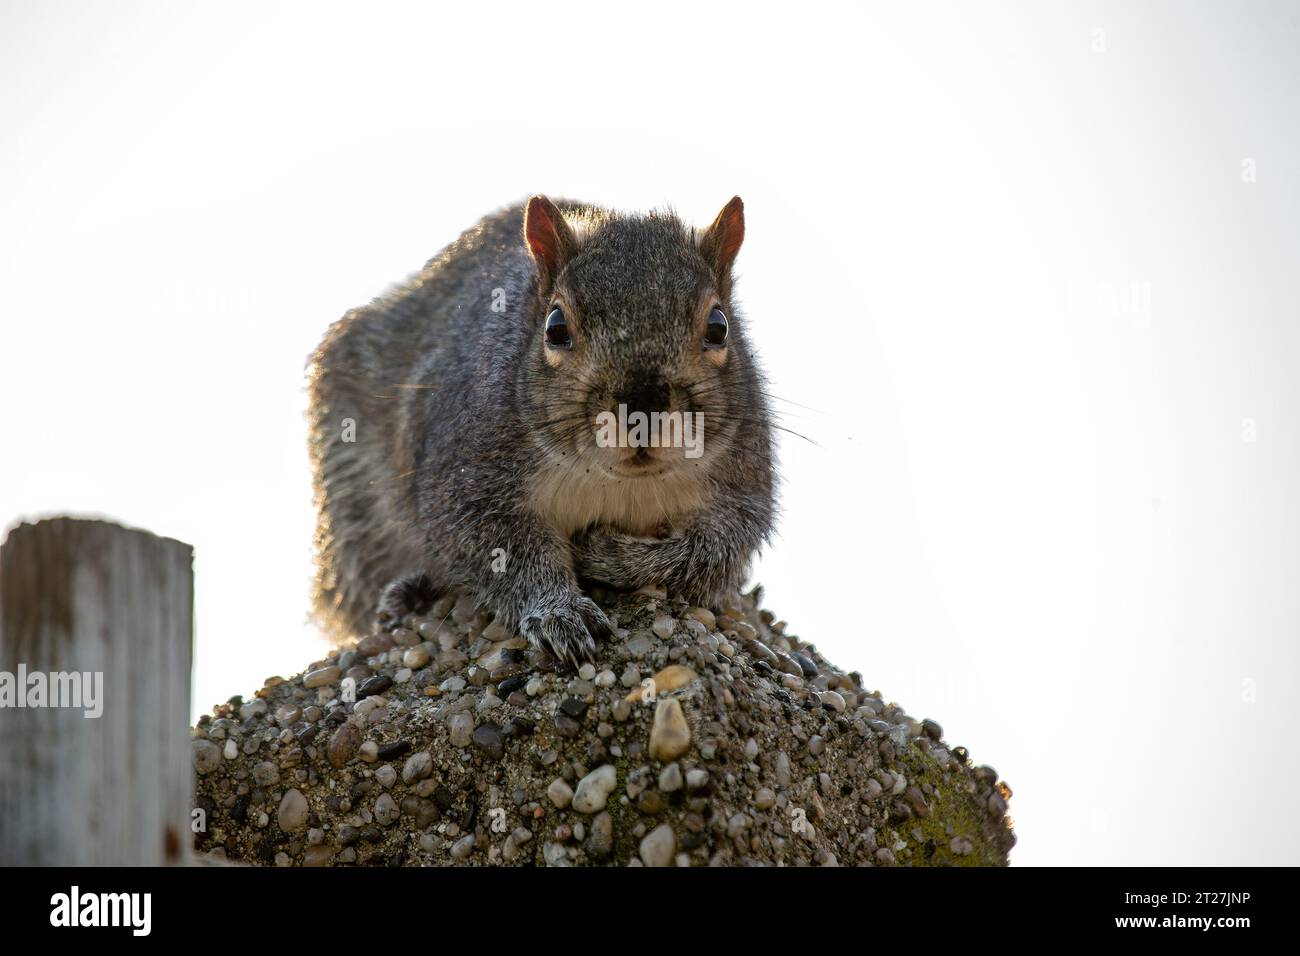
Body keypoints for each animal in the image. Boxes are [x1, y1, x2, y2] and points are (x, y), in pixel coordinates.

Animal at [307, 196, 777, 667]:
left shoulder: (742, 487)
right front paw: (558, 611)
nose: (642, 411)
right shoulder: (465, 474)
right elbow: (497, 546)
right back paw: (409, 591)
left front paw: (608, 555)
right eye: (555, 327)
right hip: (355, 508)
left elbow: (711, 551)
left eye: (718, 326)